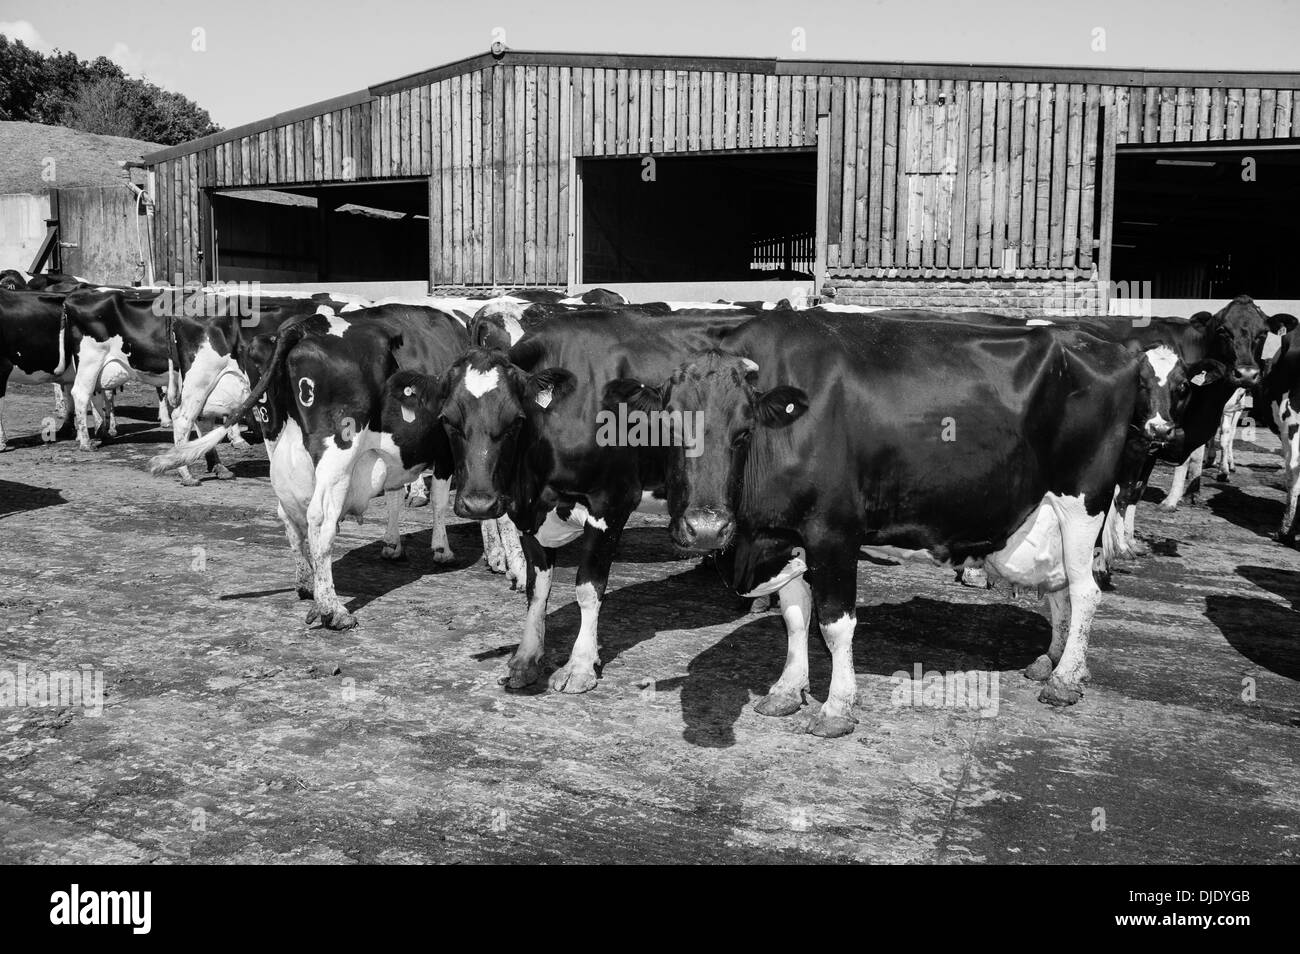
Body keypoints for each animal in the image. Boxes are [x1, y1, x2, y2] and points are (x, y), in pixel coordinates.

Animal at [440, 301, 762, 692]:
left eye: (515, 419)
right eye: (448, 420)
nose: (478, 503)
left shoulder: (612, 501)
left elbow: (588, 587)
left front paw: (580, 665)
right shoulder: (530, 513)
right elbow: (538, 588)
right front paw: (527, 657)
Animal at [616, 311, 1143, 737]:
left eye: (744, 433)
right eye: (668, 428)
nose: (706, 528)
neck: (752, 542)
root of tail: (1105, 344)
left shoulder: (833, 532)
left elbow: (834, 624)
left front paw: (836, 709)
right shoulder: (787, 536)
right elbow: (794, 616)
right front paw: (787, 690)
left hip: (1083, 500)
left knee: (1085, 589)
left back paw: (1065, 679)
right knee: (1059, 589)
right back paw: (1051, 661)